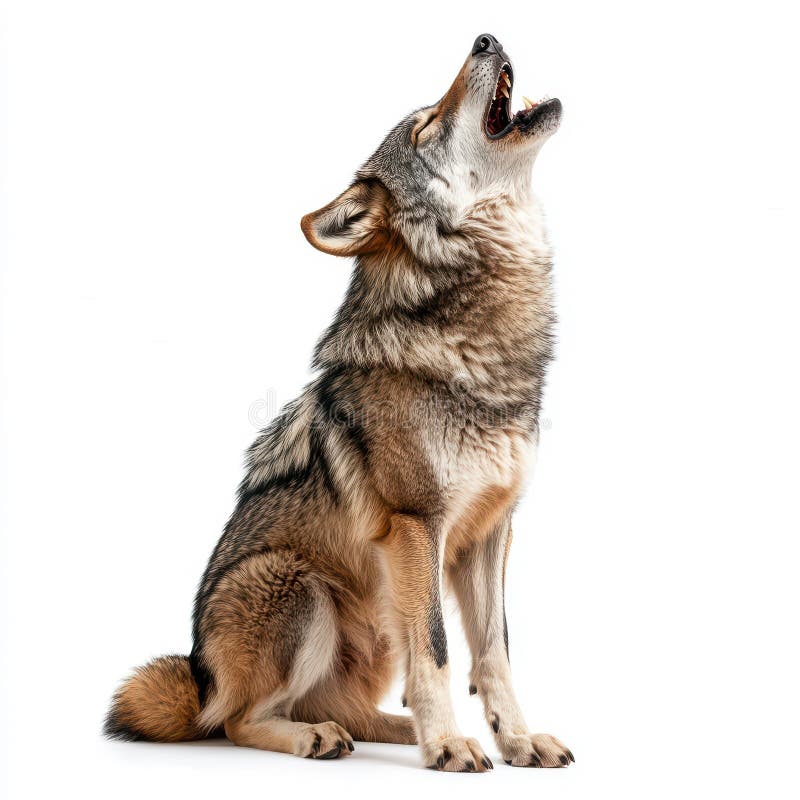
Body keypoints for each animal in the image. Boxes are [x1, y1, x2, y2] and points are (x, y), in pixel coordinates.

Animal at [105, 33, 573, 772]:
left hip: (373, 625)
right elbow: (439, 651)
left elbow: (494, 651)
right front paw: (451, 746)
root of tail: (201, 671)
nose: (485, 38)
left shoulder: (492, 529)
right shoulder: (417, 523)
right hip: (299, 587)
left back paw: (399, 732)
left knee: (349, 707)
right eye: (426, 126)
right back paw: (324, 738)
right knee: (238, 721)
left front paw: (517, 740)